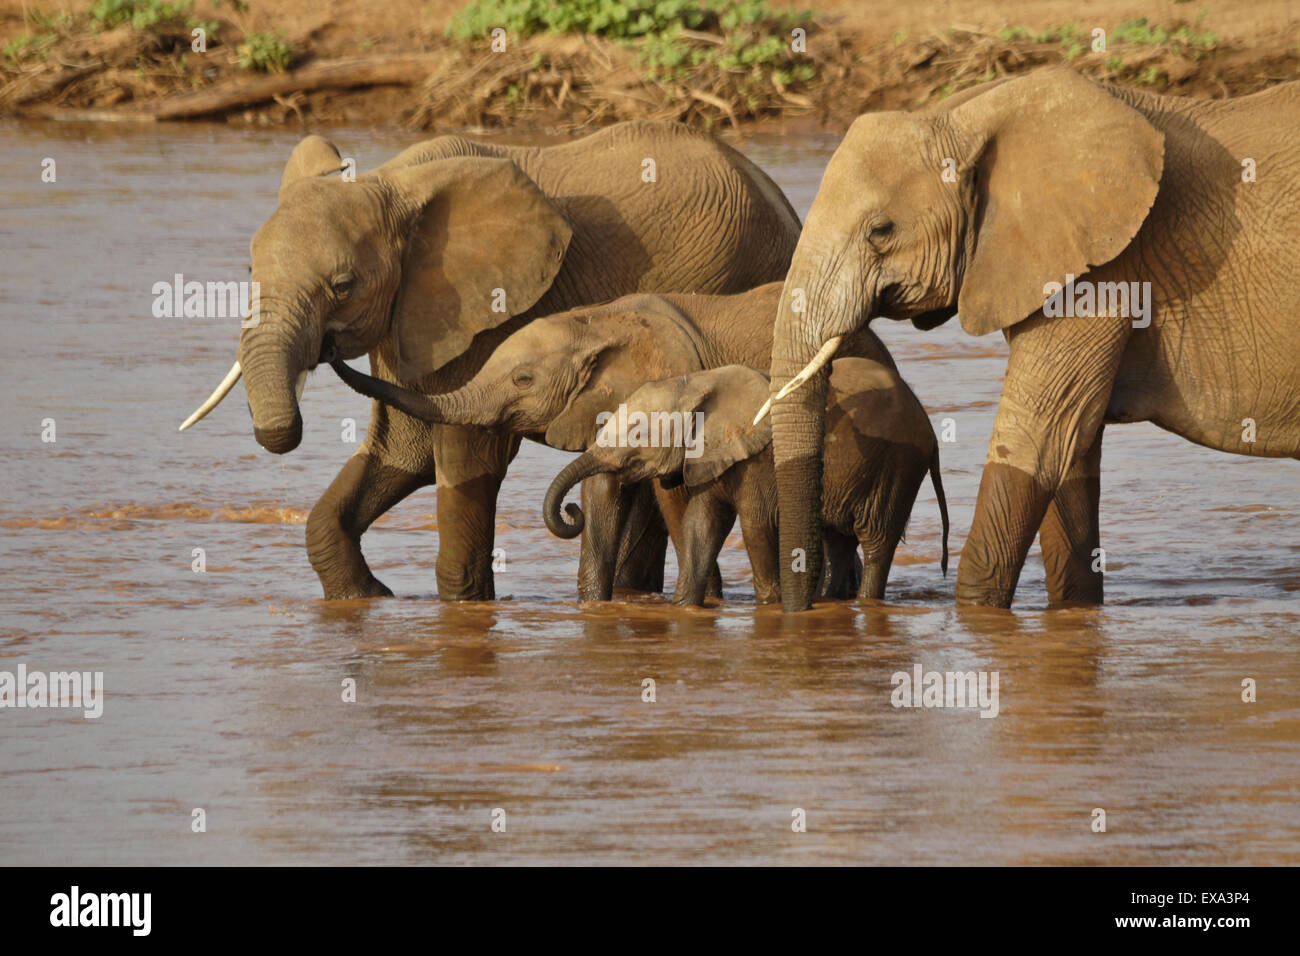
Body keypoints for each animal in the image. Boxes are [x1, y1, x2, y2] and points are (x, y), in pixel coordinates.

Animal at [177, 120, 801, 600]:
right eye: (250, 272)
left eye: (343, 286)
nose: (328, 353)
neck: (389, 184)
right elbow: (401, 451)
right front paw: (368, 598)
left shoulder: (484, 307)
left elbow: (466, 454)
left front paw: (462, 607)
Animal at [327, 282, 912, 599]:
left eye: (523, 380)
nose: (331, 343)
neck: (594, 322)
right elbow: (603, 496)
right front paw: (593, 605)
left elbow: (674, 498)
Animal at [541, 360, 949, 606]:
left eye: (638, 434)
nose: (572, 510)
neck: (699, 383)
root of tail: (930, 430)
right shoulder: (711, 456)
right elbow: (702, 526)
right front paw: (684, 607)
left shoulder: (757, 460)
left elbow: (756, 526)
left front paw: (770, 605)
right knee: (840, 541)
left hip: (897, 468)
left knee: (876, 540)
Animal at [763, 67, 1300, 611]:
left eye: (881, 231)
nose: (803, 612)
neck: (967, 116)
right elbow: (1072, 451)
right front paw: (1073, 612)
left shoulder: (1103, 273)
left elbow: (1036, 438)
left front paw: (975, 614)